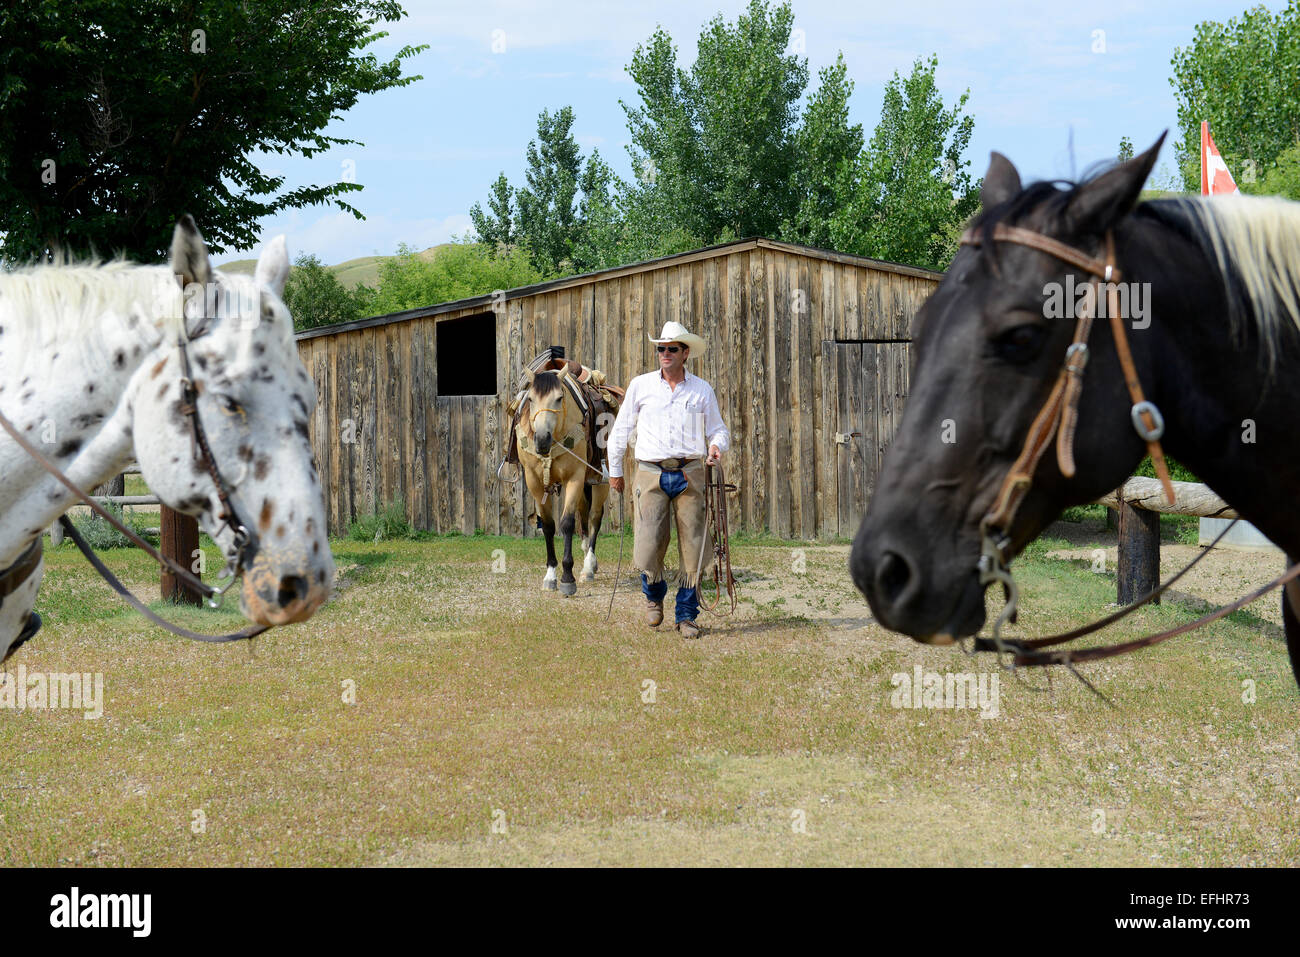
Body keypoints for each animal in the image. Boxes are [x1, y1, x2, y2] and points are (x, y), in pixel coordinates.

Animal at [516, 365, 609, 594]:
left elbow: (567, 523)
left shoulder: (574, 478)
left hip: (599, 480)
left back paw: (589, 567)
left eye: (559, 398)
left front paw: (568, 578)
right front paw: (550, 575)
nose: (541, 439)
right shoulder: (535, 482)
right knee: (584, 515)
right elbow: (549, 526)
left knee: (594, 517)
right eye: (530, 399)